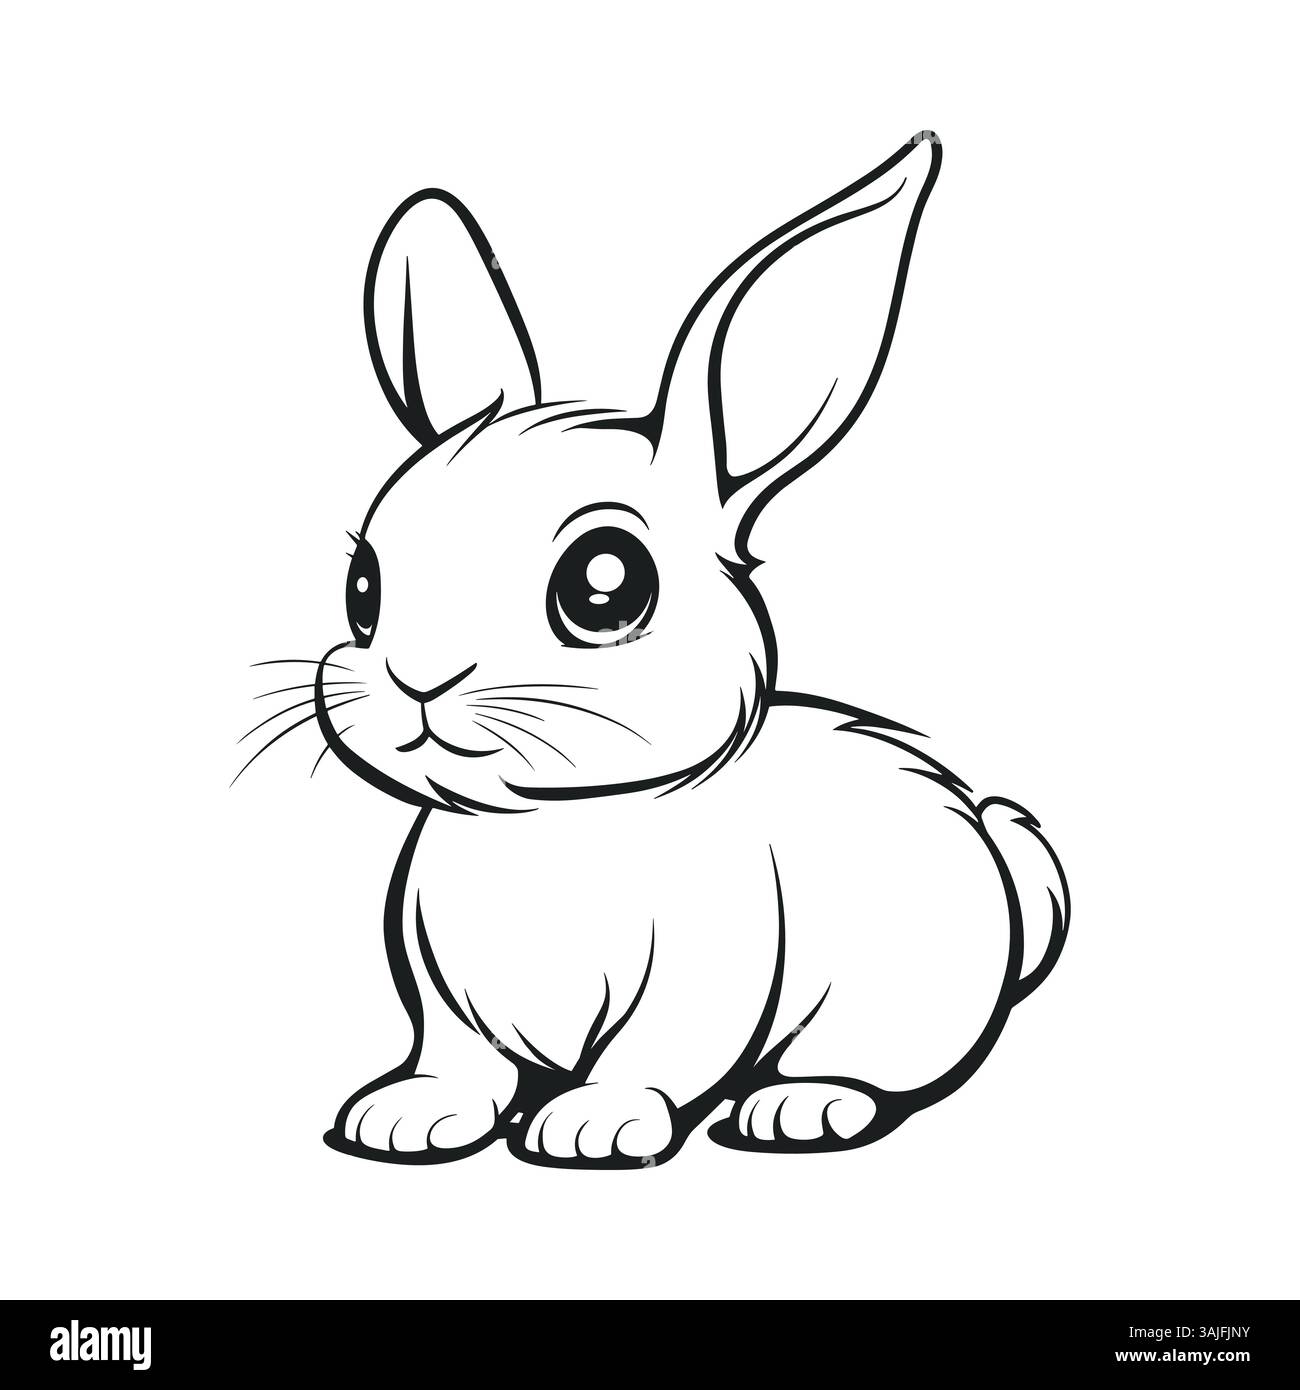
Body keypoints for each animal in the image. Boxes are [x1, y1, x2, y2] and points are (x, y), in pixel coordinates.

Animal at [304, 131, 1069, 1168]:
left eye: (605, 584)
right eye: (364, 590)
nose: (415, 679)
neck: (550, 829)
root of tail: (1000, 852)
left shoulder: (709, 976)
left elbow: (662, 1053)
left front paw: (594, 1125)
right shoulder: (443, 997)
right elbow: (455, 1061)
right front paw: (406, 1117)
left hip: (898, 998)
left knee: (875, 1071)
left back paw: (799, 1107)